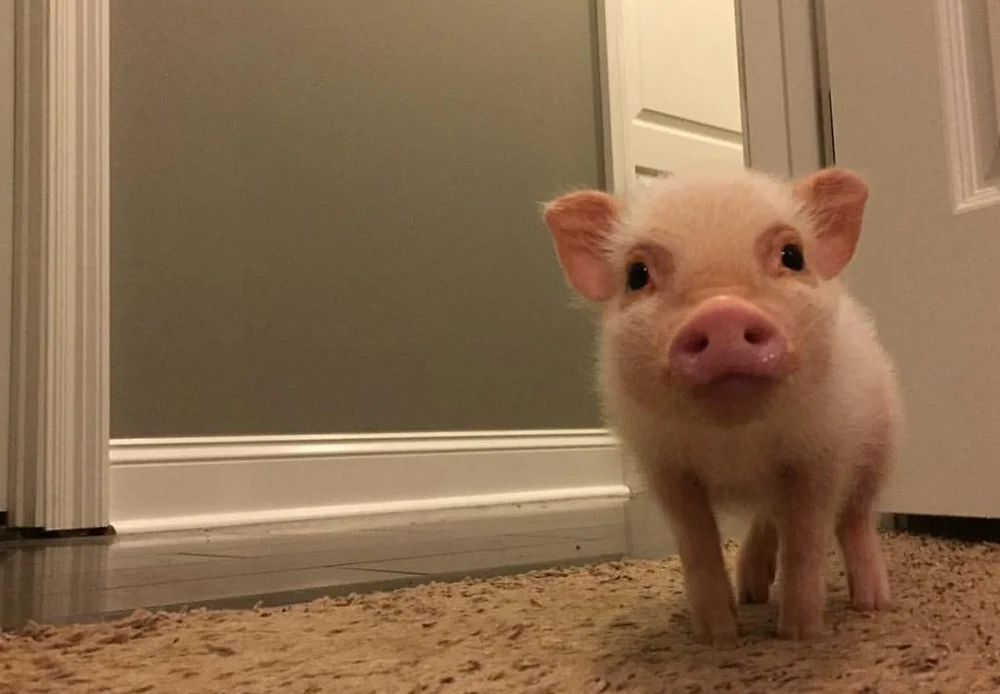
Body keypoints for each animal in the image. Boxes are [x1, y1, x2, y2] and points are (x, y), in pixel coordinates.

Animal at [541, 167, 901, 645]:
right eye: (637, 274)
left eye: (792, 255)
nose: (722, 312)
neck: (735, 445)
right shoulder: (665, 466)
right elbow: (697, 541)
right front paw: (718, 637)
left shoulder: (822, 454)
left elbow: (807, 537)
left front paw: (800, 635)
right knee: (769, 520)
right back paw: (751, 594)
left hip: (879, 449)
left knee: (854, 520)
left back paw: (873, 604)